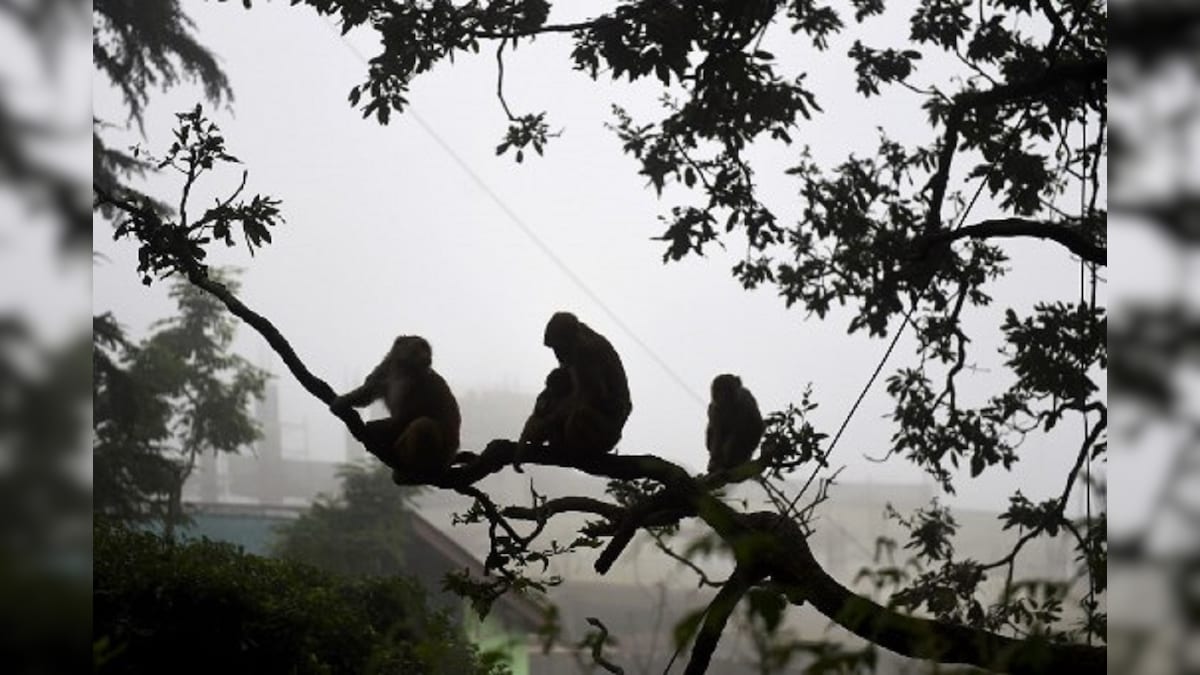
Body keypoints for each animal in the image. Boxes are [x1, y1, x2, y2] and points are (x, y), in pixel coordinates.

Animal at [331, 335, 461, 478]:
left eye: (427, 350)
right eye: (420, 347)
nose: (428, 357)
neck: (403, 370)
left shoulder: (418, 383)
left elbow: (406, 416)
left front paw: (372, 428)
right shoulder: (385, 369)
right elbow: (367, 393)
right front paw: (343, 401)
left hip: (438, 457)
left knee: (423, 425)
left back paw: (416, 466)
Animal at [534, 311, 632, 458]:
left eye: (558, 346)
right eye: (554, 348)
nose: (558, 355)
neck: (584, 334)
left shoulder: (585, 352)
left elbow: (592, 393)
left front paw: (545, 422)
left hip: (606, 437)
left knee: (581, 413)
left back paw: (578, 448)